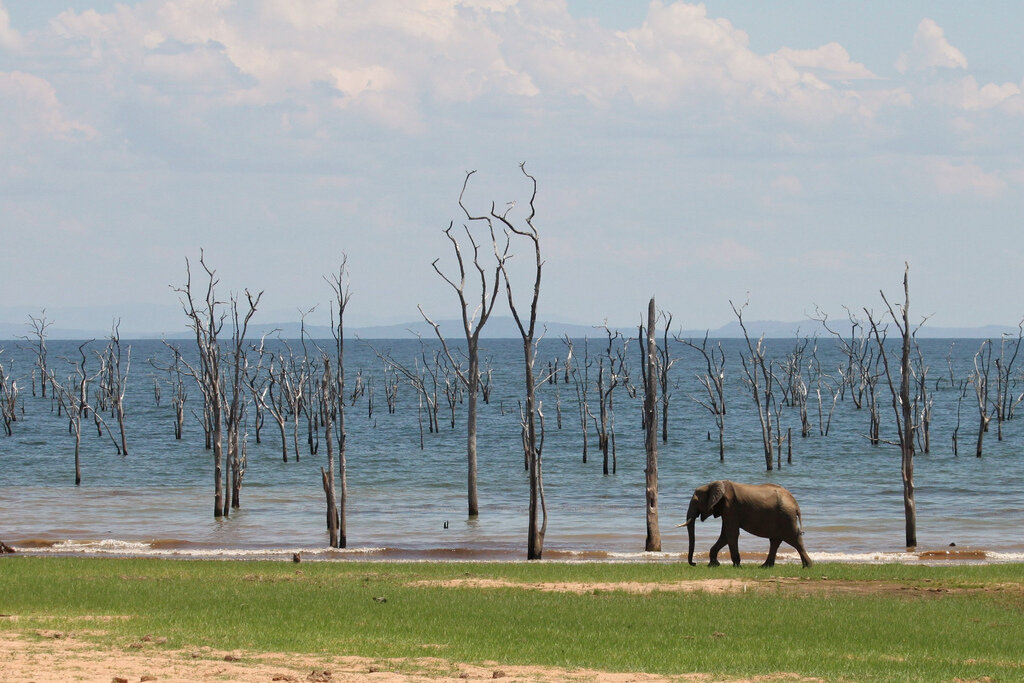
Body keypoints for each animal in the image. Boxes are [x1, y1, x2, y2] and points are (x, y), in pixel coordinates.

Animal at [675, 479, 811, 569]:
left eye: (696, 502)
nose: (694, 564)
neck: (712, 484)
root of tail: (796, 504)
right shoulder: (726, 510)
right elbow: (725, 534)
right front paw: (713, 565)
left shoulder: (731, 507)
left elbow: (731, 533)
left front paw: (736, 566)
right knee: (775, 541)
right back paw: (765, 566)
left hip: (786, 516)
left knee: (794, 538)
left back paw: (807, 566)